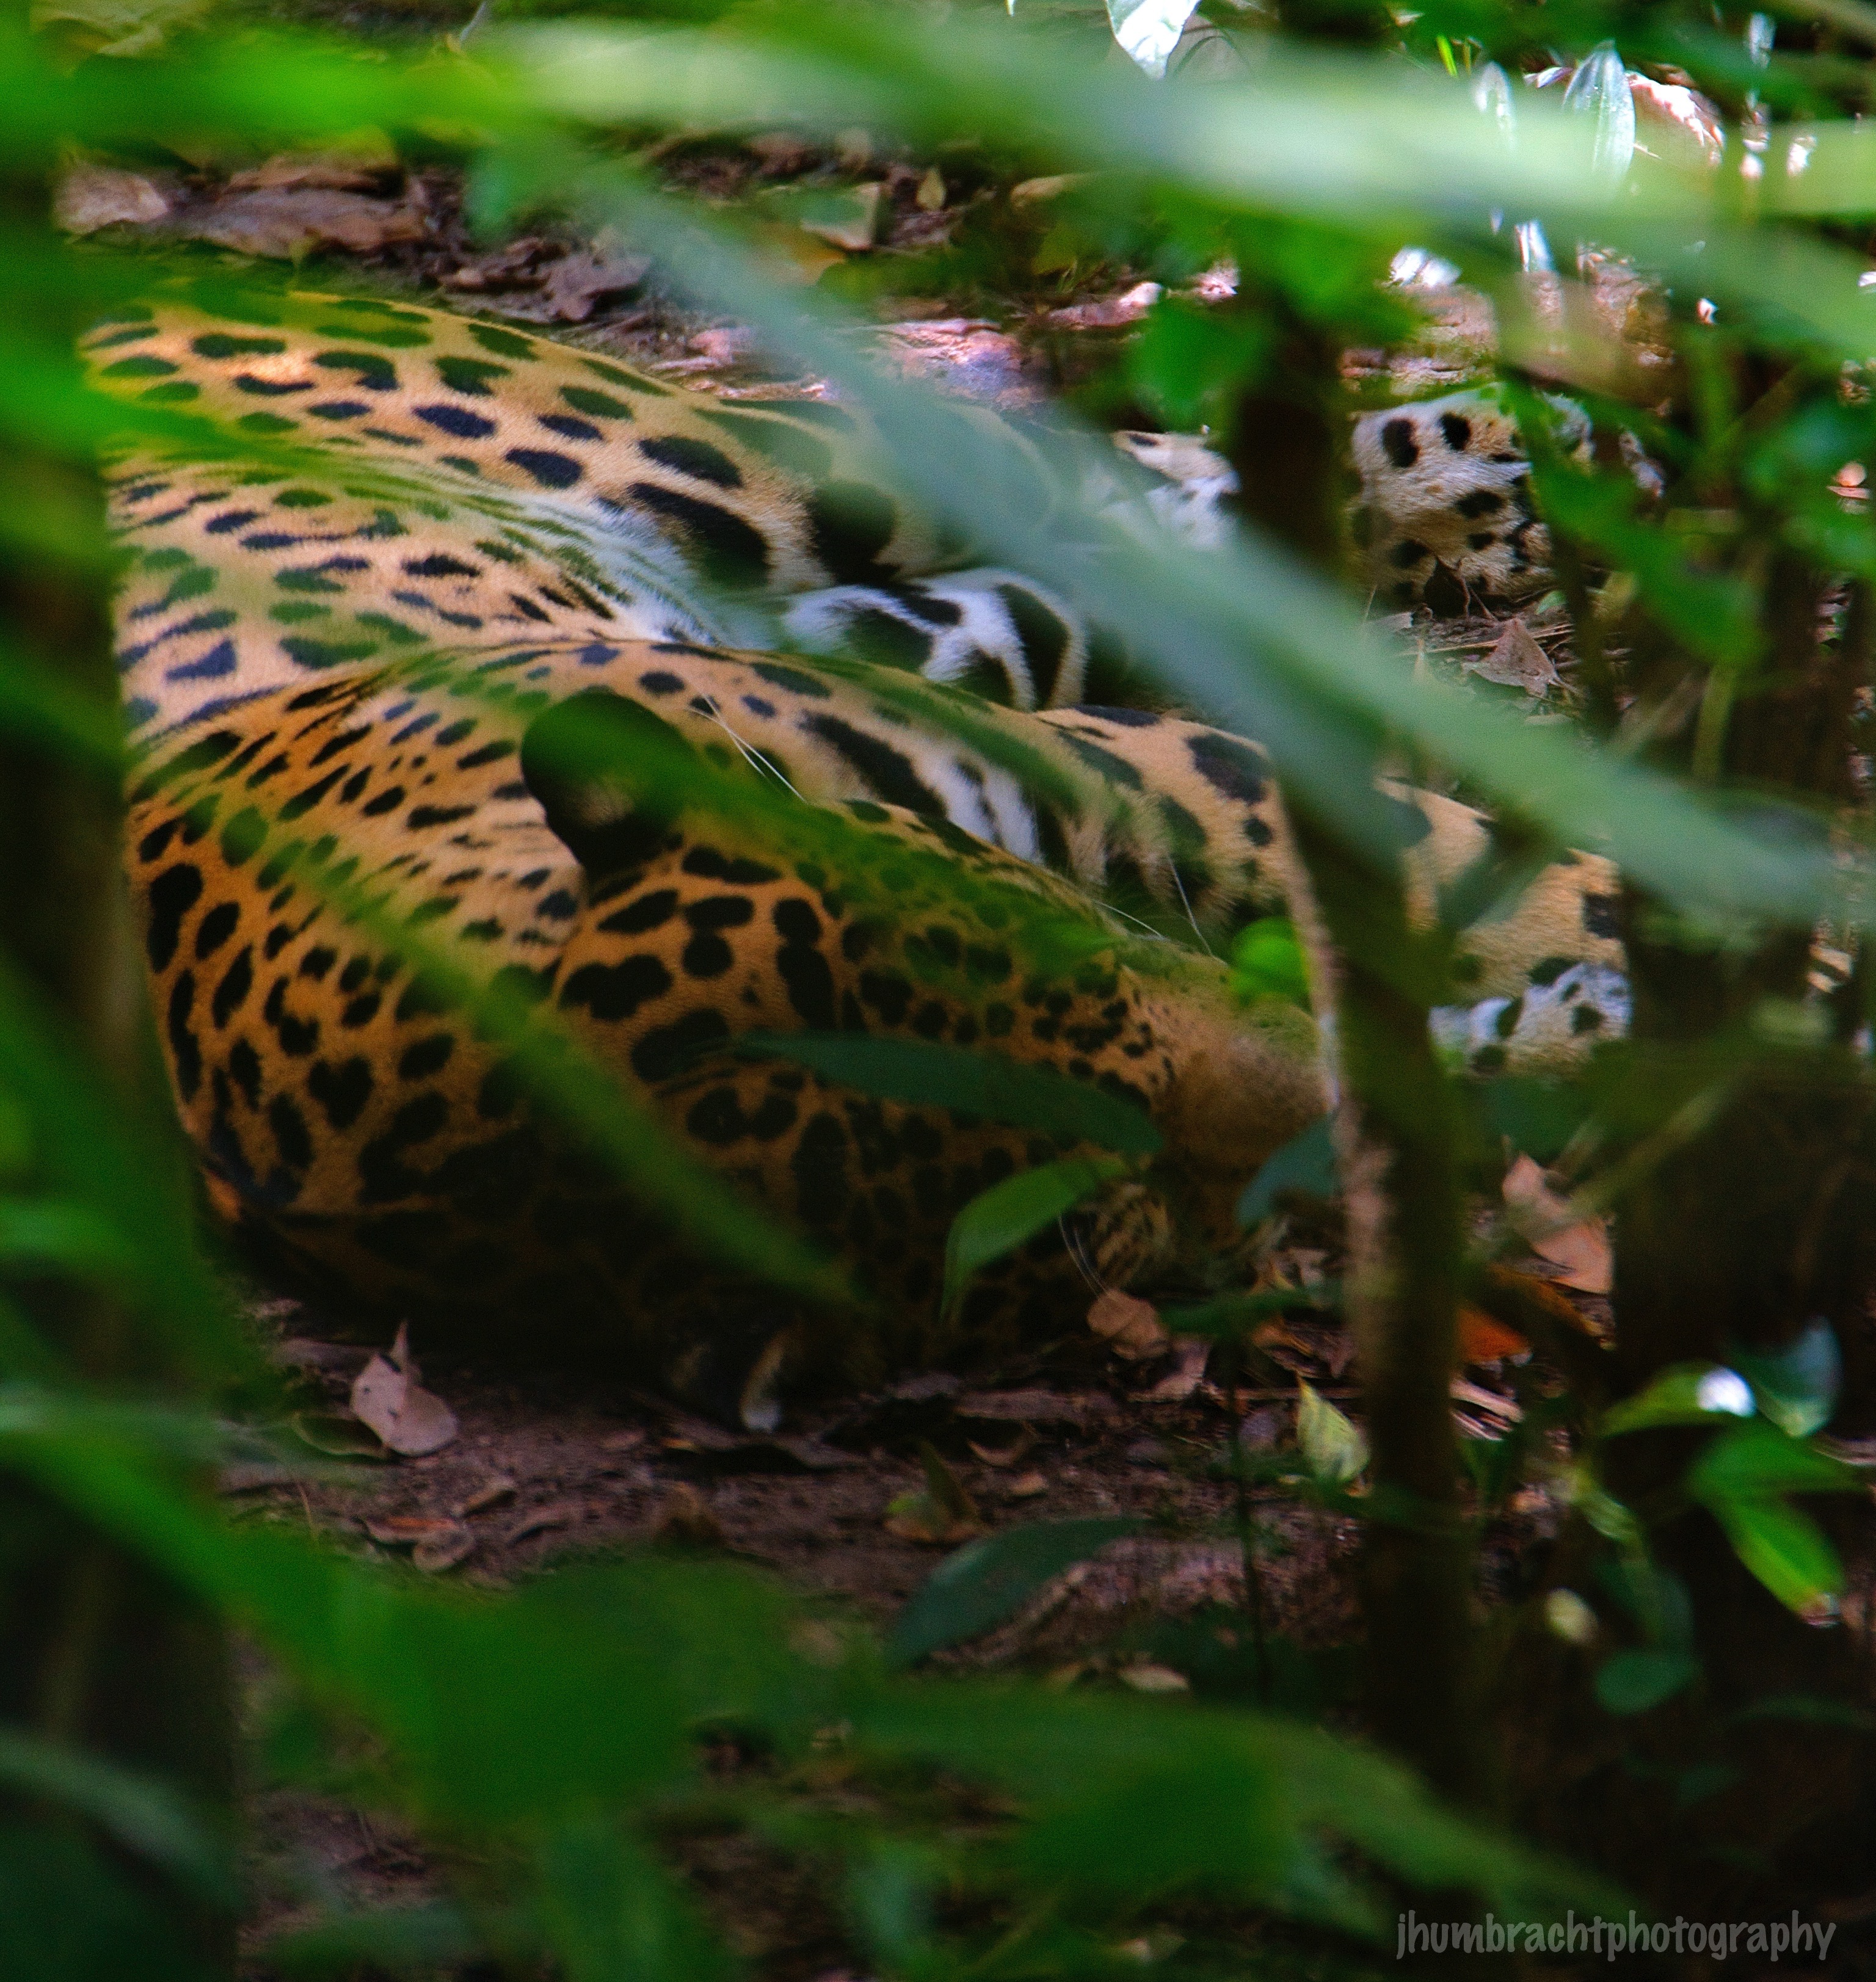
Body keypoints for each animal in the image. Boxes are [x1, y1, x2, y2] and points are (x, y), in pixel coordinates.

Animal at [97, 282, 1636, 1401]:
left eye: (1081, 948)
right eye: (1108, 1214)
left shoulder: (1109, 780)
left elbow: (1475, 879)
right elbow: (1377, 1042)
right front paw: (1587, 1039)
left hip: (761, 464)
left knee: (1076, 459)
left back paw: (1499, 463)